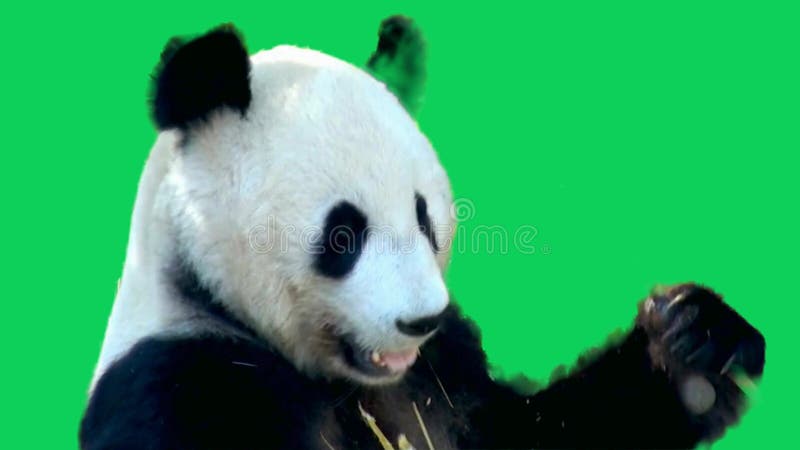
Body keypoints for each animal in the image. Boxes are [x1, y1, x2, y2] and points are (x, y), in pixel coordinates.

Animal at [81, 16, 766, 450]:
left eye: (423, 215)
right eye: (342, 235)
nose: (420, 320)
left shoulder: (442, 369)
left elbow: (537, 430)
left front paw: (693, 341)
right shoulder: (184, 379)